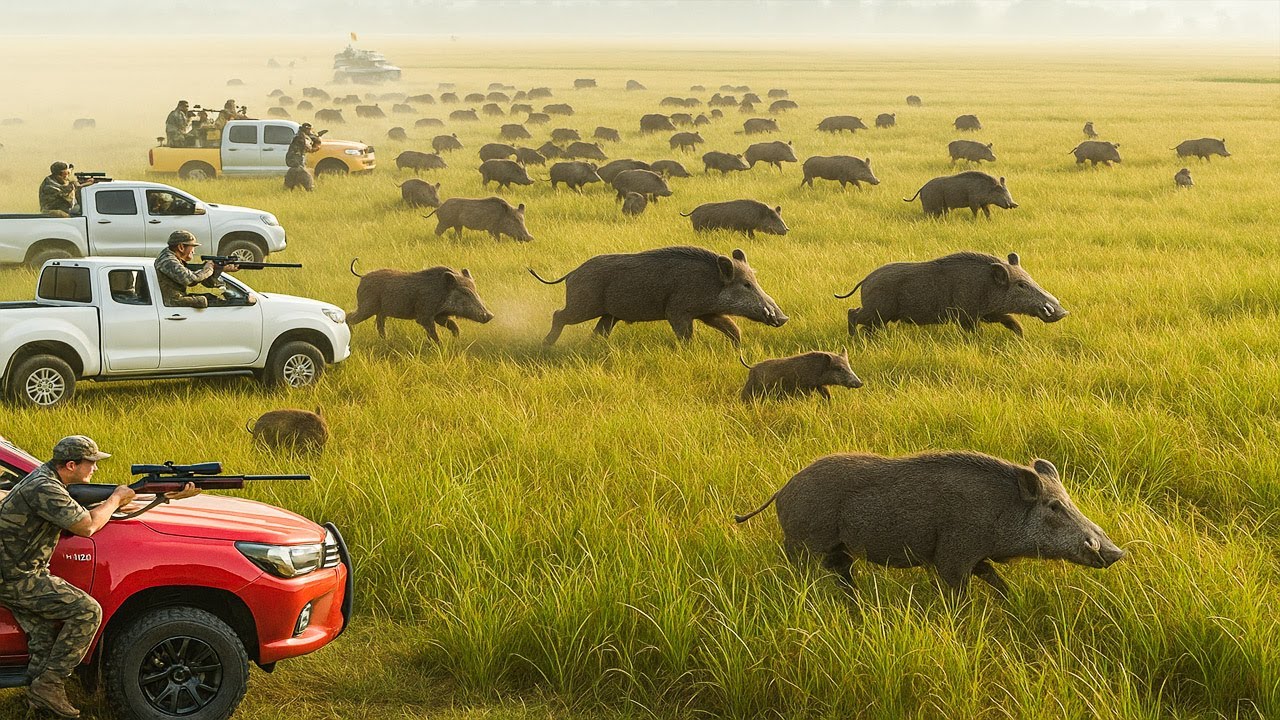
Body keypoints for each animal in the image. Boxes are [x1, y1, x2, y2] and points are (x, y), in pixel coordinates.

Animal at [347, 258, 494, 342]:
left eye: (475, 290)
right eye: (465, 292)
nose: (490, 315)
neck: (441, 292)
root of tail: (363, 276)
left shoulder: (439, 316)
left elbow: (452, 324)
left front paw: (457, 338)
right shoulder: (424, 315)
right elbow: (433, 333)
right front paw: (440, 346)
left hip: (381, 311)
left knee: (380, 323)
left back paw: (385, 340)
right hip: (367, 306)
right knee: (349, 316)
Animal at [529, 246, 787, 346]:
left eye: (754, 281)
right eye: (746, 284)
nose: (783, 318)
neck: (711, 283)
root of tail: (572, 273)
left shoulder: (708, 313)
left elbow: (732, 327)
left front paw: (738, 347)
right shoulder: (678, 311)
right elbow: (686, 335)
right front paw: (689, 350)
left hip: (608, 314)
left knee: (598, 332)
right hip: (583, 306)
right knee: (558, 314)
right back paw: (546, 344)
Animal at [734, 452, 1125, 596]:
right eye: (1054, 506)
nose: (1117, 552)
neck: (999, 511)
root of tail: (783, 489)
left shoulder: (977, 559)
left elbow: (999, 582)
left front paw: (1014, 602)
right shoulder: (952, 558)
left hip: (837, 552)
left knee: (842, 574)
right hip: (803, 546)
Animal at [838, 251, 1067, 337]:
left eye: (1028, 277)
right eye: (1020, 285)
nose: (1063, 312)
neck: (986, 285)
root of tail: (866, 279)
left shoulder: (988, 313)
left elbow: (1010, 319)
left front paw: (1021, 336)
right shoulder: (966, 316)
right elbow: (975, 332)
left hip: (880, 316)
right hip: (877, 311)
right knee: (852, 313)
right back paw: (853, 337)